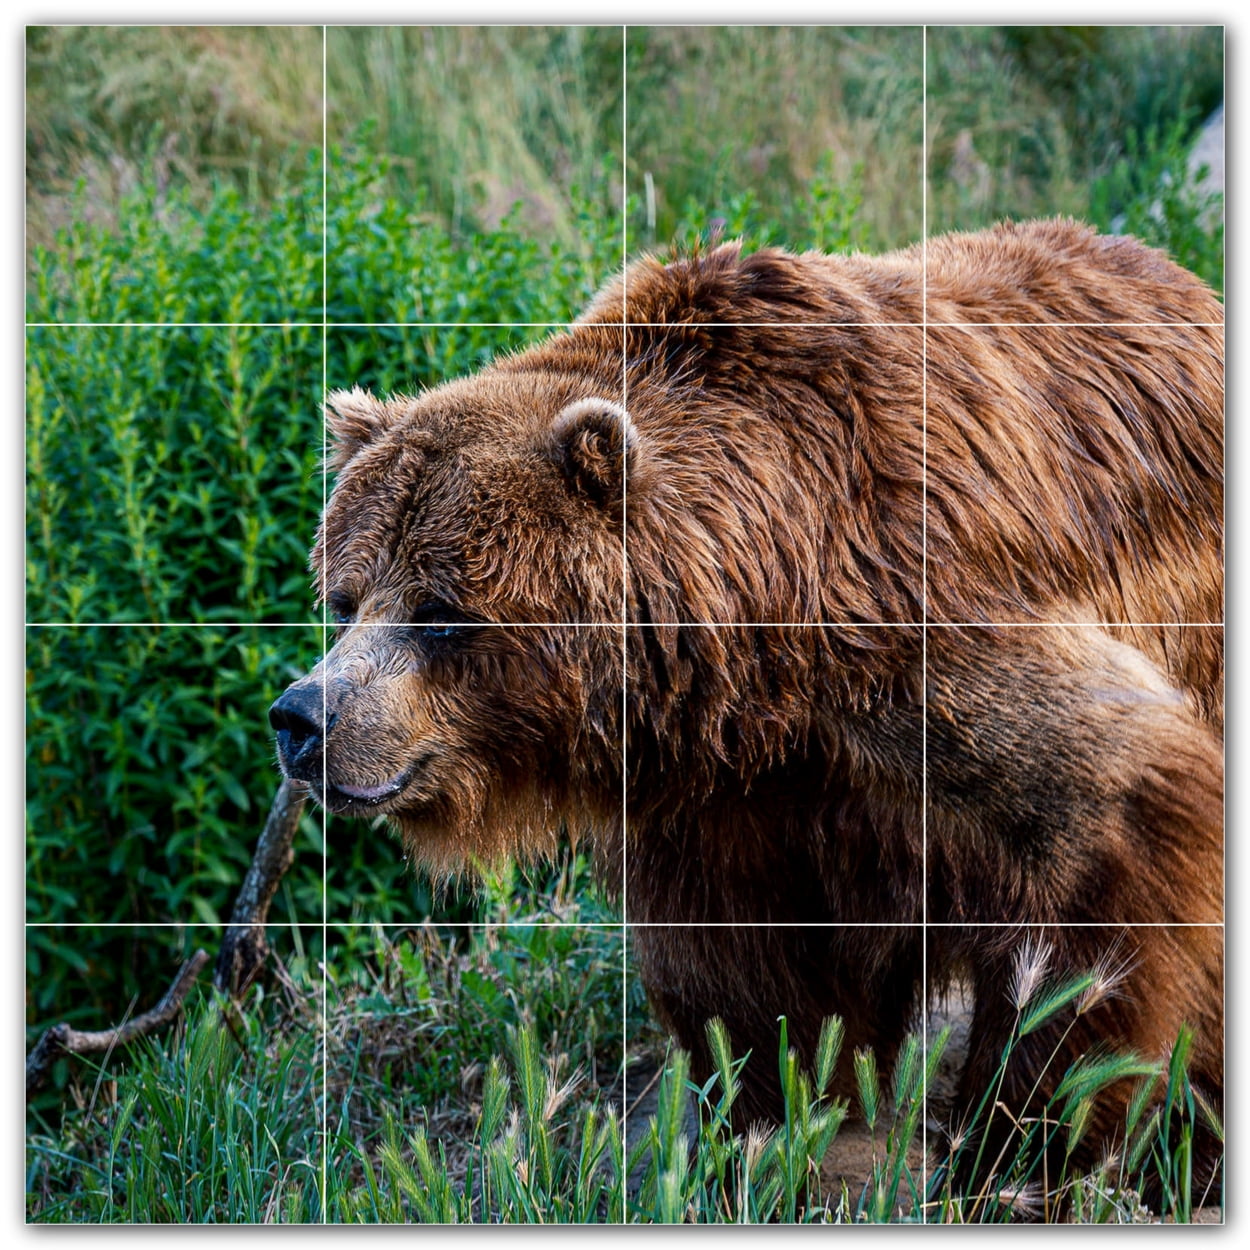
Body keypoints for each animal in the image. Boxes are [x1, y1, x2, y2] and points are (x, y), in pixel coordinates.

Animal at [269, 218, 1223, 1207]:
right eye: (345, 599)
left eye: (440, 609)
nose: (304, 716)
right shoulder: (730, 804)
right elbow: (749, 990)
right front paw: (774, 1138)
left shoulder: (918, 628)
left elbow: (1107, 823)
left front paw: (1015, 1148)